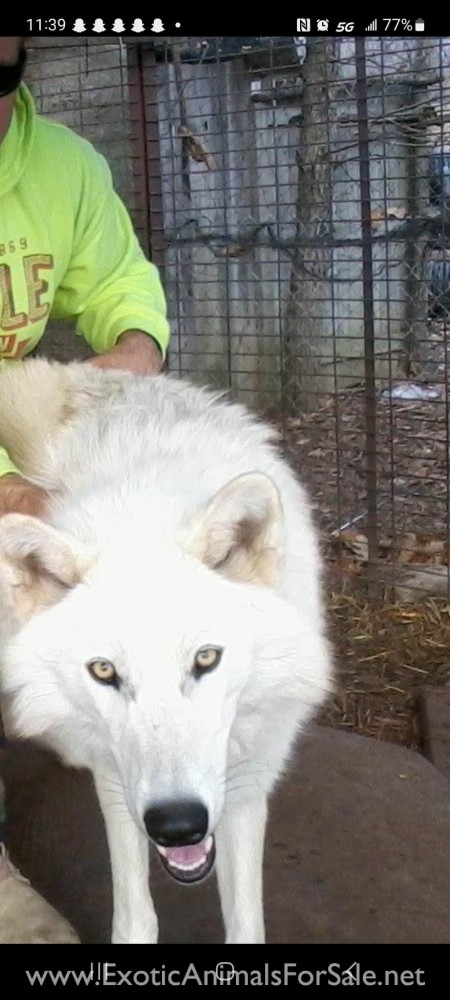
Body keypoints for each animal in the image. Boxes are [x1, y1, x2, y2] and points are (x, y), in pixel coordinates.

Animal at [0, 359, 332, 944]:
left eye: (206, 659)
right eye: (104, 671)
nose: (177, 825)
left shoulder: (249, 776)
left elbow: (244, 921)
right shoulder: (119, 783)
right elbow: (135, 915)